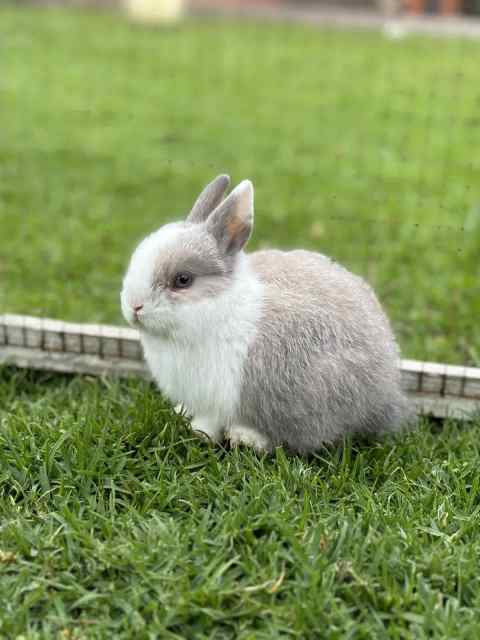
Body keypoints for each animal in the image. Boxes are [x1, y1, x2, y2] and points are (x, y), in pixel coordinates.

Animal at [121, 174, 412, 454]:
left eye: (182, 280)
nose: (134, 306)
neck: (222, 305)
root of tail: (388, 394)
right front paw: (183, 415)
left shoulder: (219, 397)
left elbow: (210, 422)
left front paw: (199, 433)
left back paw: (246, 439)